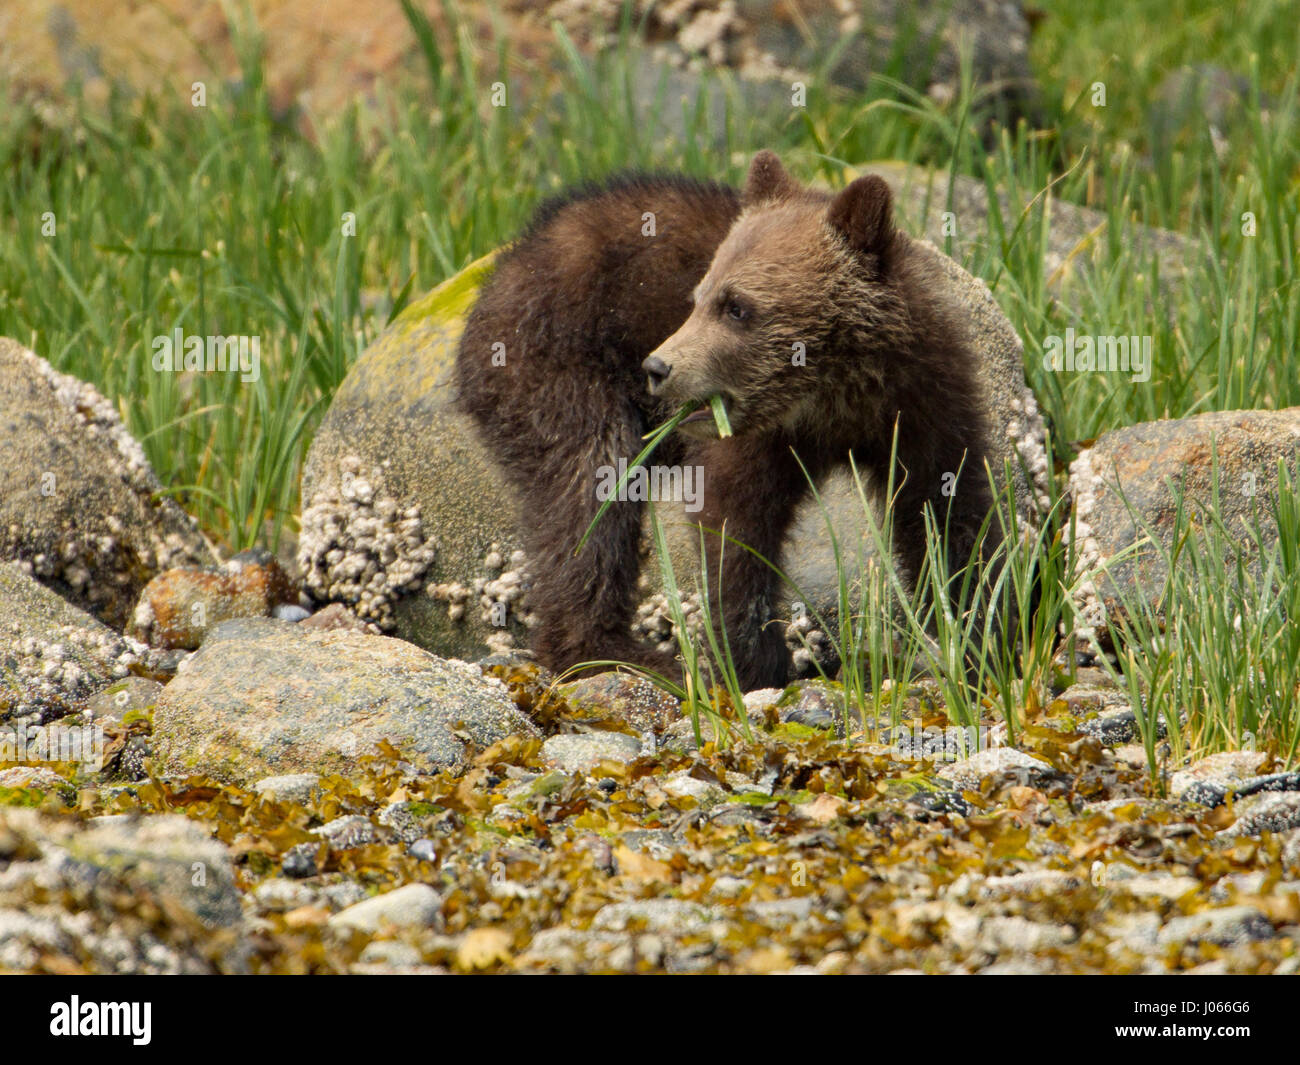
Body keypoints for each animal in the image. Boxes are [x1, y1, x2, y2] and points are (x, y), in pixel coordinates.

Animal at [455, 151, 999, 690]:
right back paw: (617, 651)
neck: (836, 397)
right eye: (698, 299)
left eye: (736, 307)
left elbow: (949, 514)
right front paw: (756, 663)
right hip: (557, 364)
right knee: (590, 489)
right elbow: (735, 526)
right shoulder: (754, 435)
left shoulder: (924, 402)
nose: (658, 368)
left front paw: (979, 641)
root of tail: (504, 266)